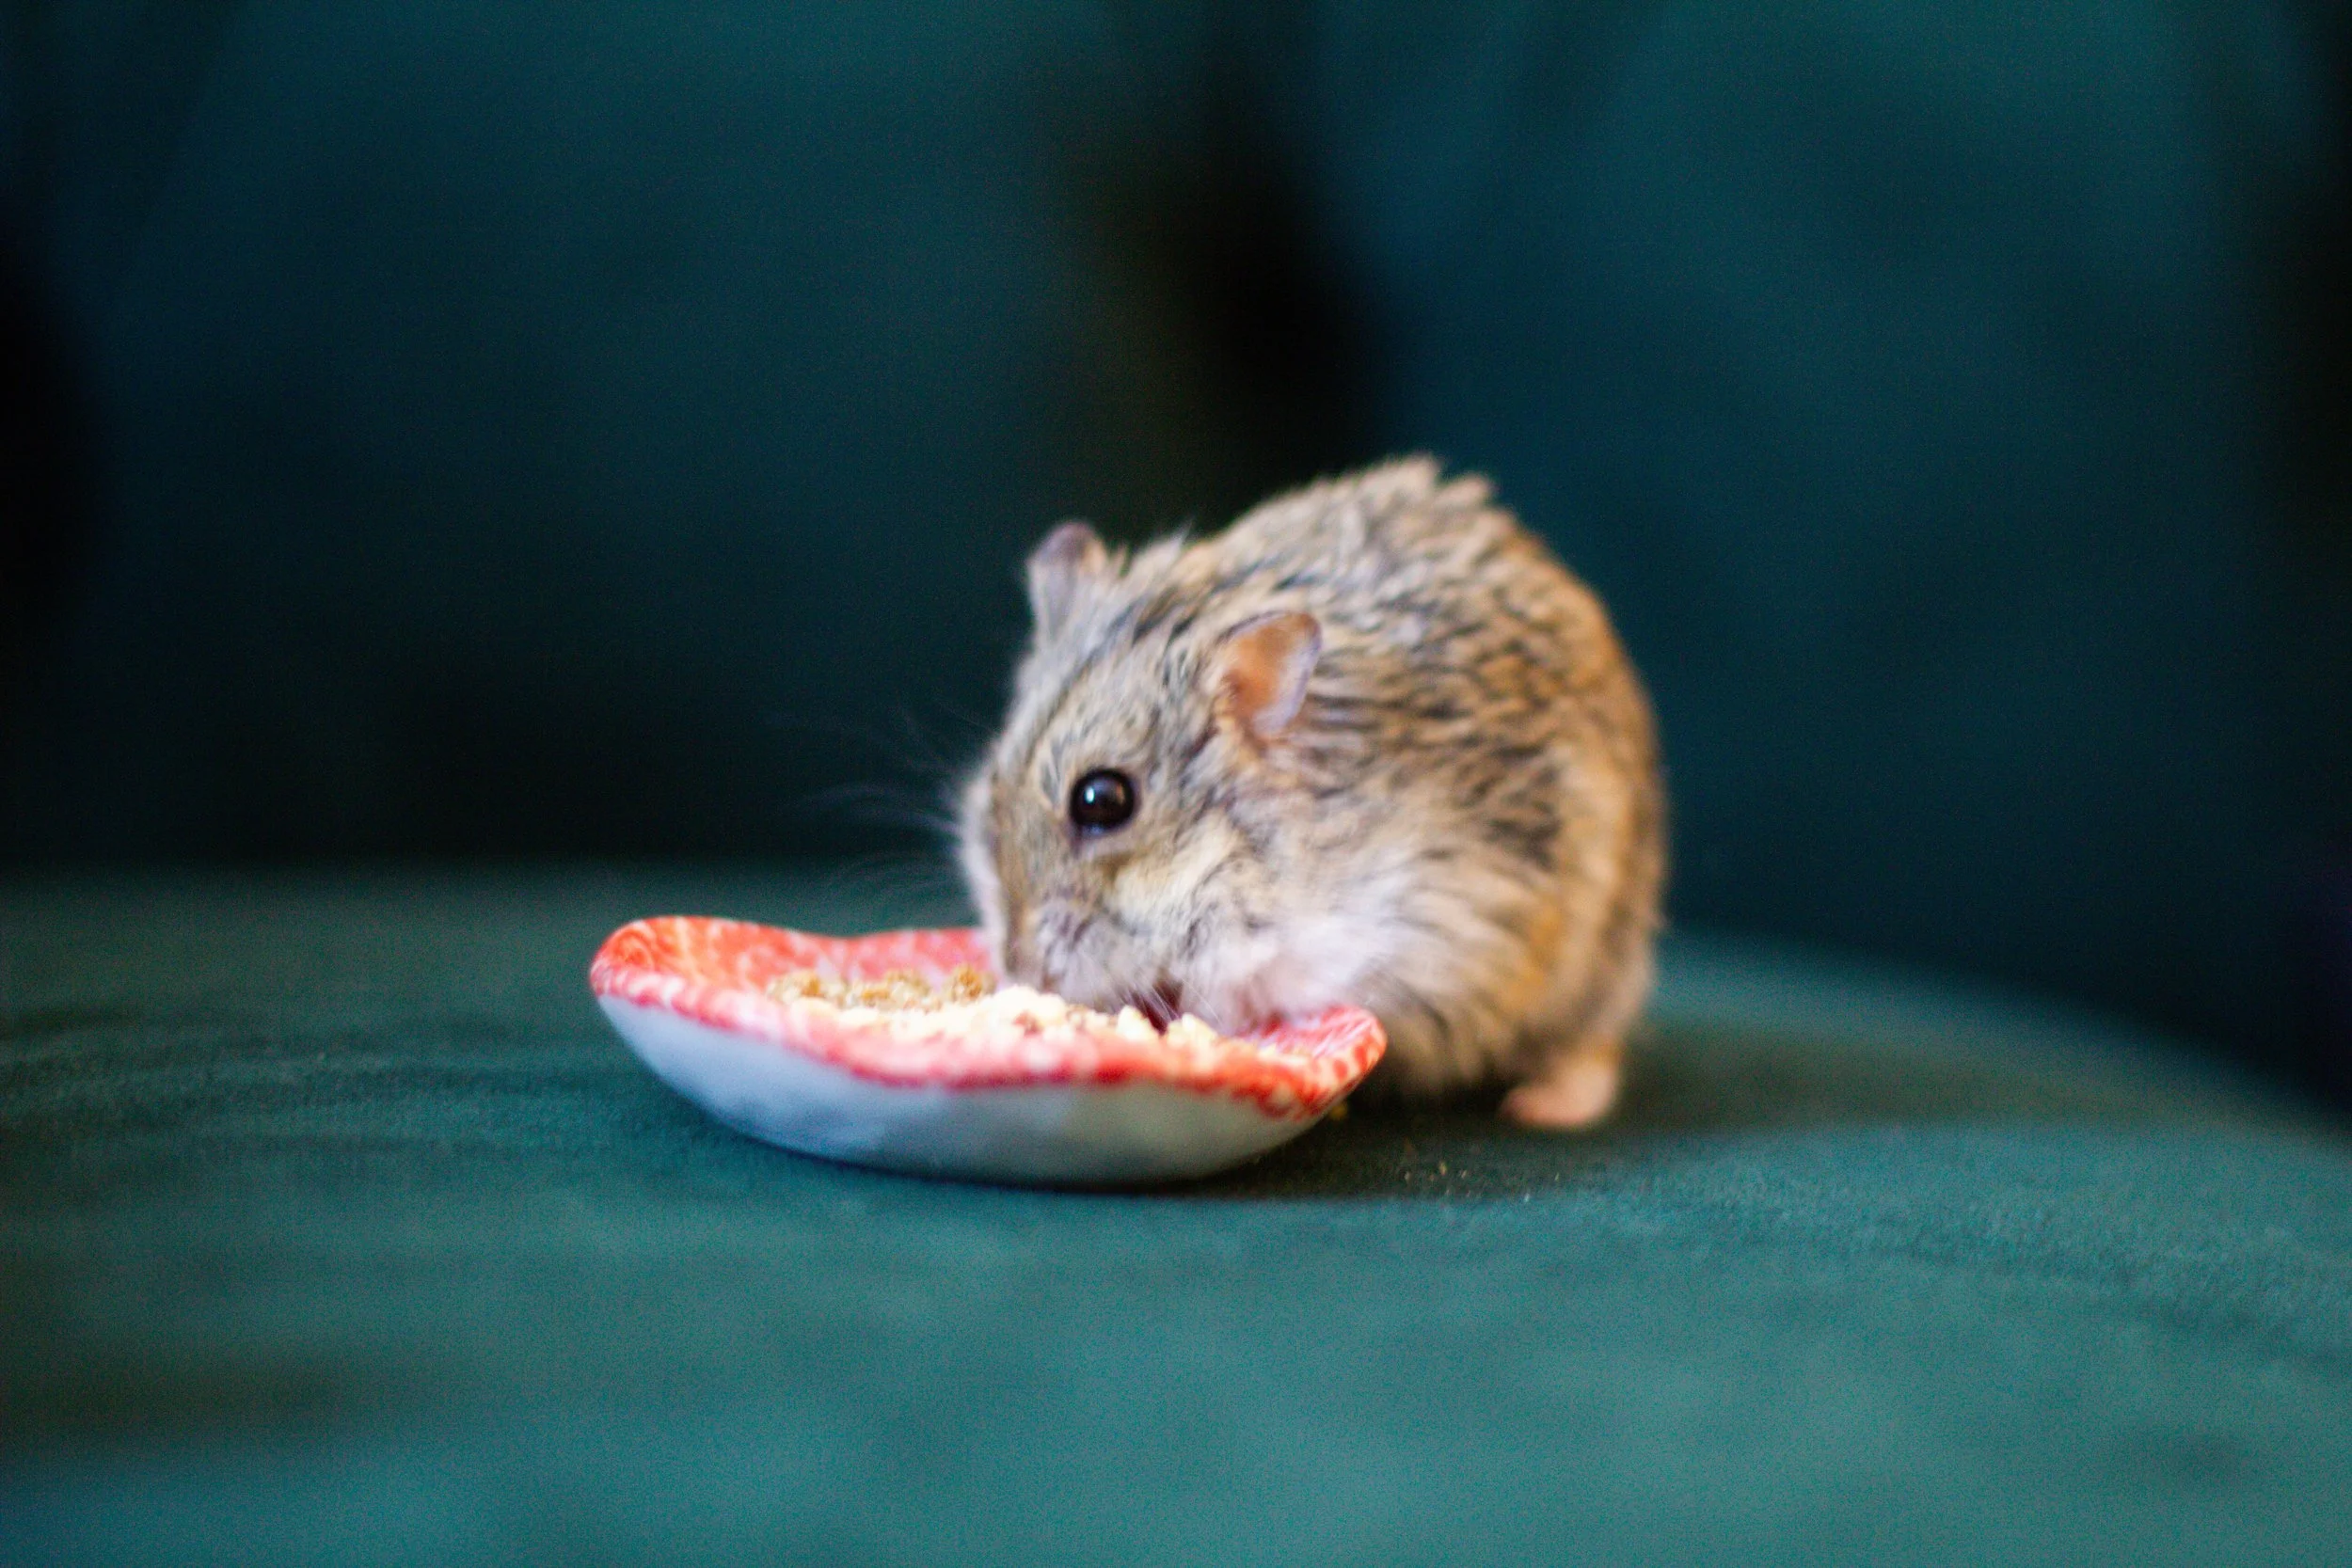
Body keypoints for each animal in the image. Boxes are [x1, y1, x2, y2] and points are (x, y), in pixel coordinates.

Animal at [955, 458, 1665, 1127]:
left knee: (1594, 1050)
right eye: (992, 777)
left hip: (1603, 961)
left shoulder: (1426, 935)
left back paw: (1544, 1106)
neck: (1237, 858)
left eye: (1102, 800)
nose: (1019, 970)